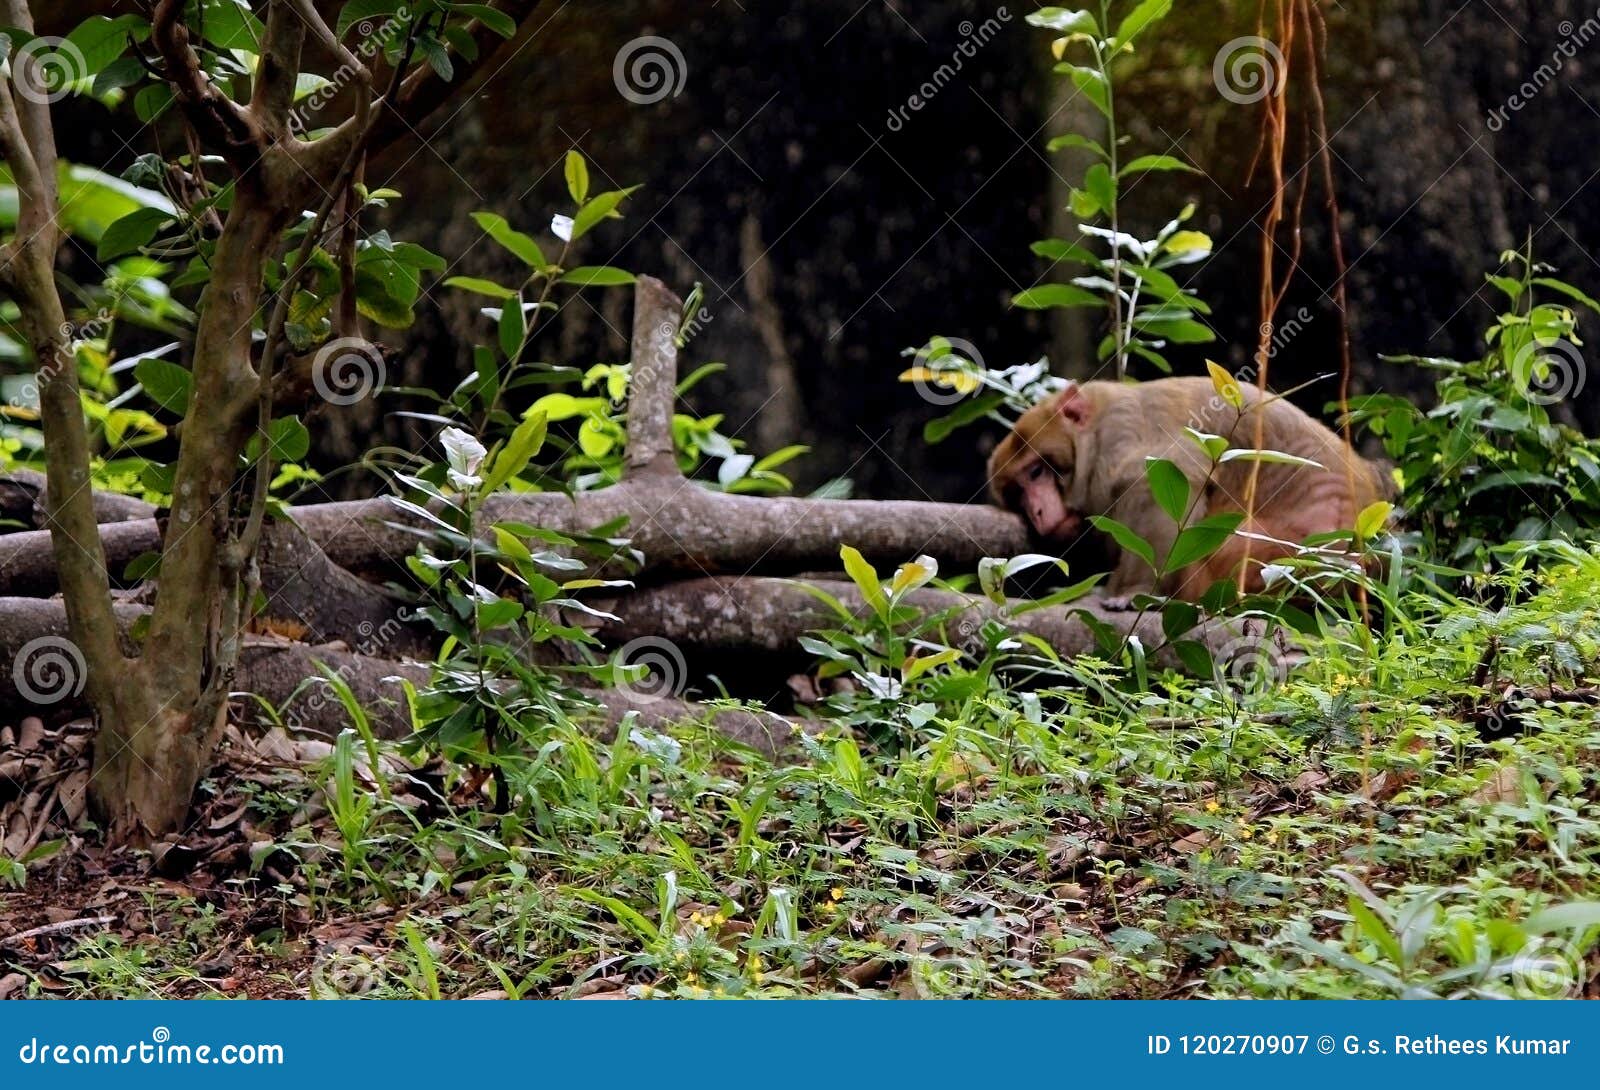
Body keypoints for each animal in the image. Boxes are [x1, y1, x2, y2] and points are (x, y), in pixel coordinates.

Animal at [987, 376, 1393, 602]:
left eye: (1036, 472)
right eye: (1018, 492)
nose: (1038, 511)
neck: (1093, 432)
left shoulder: (1118, 439)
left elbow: (1158, 481)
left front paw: (1130, 591)